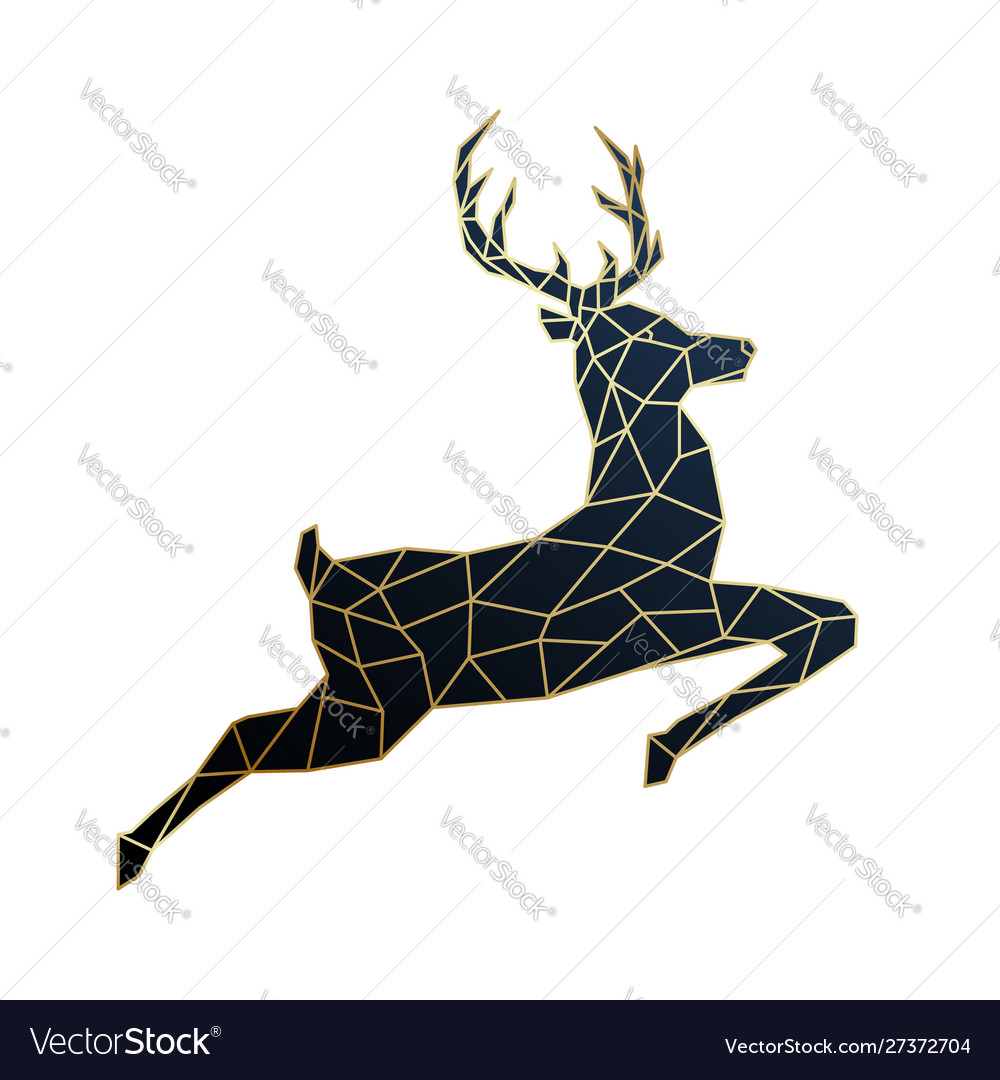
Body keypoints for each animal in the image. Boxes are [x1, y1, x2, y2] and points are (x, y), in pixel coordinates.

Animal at [117, 114, 857, 888]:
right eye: (649, 330)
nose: (739, 348)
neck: (652, 511)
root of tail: (318, 571)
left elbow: (828, 620)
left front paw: (661, 751)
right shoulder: (673, 612)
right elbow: (828, 622)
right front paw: (660, 752)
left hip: (347, 687)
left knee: (244, 729)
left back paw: (129, 852)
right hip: (385, 697)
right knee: (254, 739)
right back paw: (131, 855)